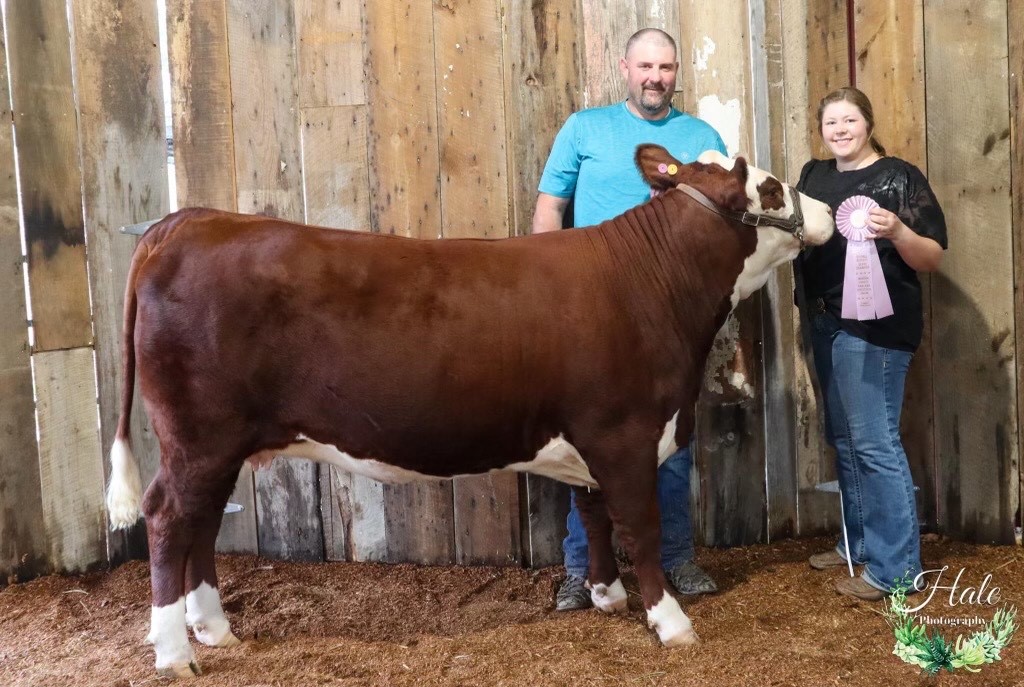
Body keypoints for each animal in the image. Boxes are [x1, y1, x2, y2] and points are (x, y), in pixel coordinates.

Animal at [105, 145, 833, 678]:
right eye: (771, 189)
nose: (826, 211)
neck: (651, 284)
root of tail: (193, 221)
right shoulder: (624, 432)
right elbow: (641, 527)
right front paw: (670, 621)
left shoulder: (592, 438)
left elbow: (594, 514)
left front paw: (605, 597)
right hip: (200, 434)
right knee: (168, 516)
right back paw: (173, 652)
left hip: (217, 442)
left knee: (199, 523)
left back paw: (214, 630)